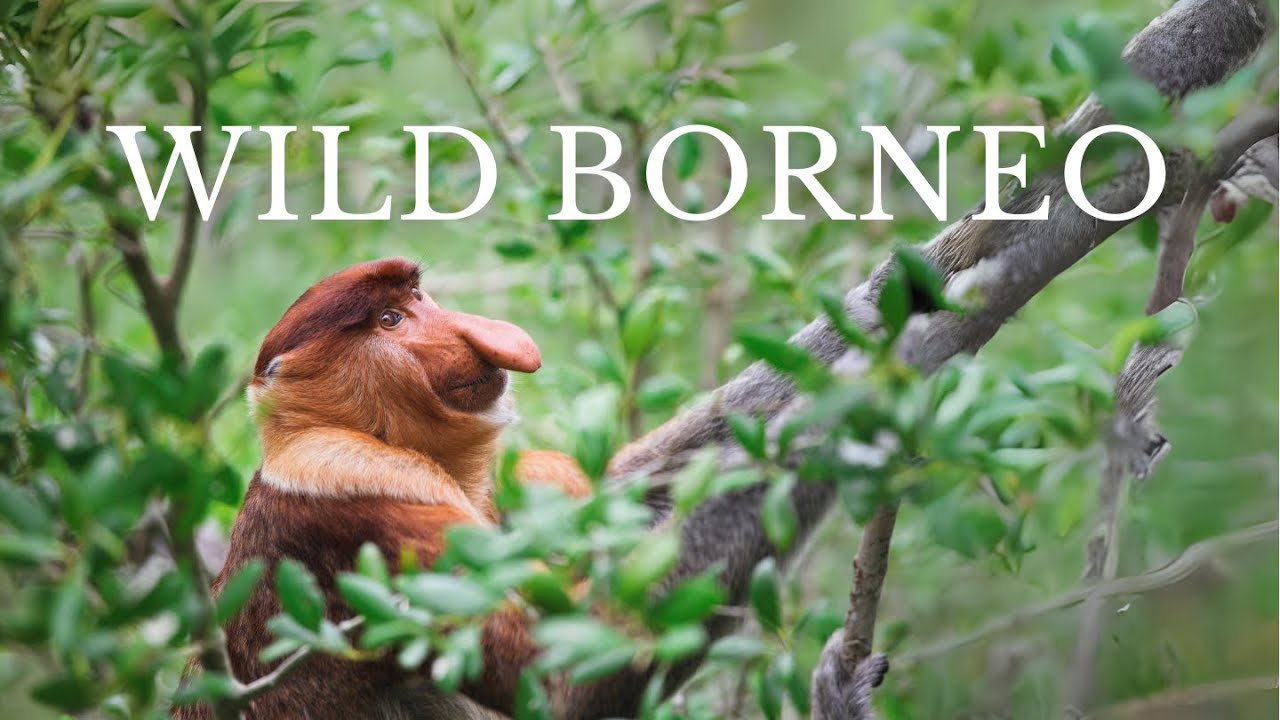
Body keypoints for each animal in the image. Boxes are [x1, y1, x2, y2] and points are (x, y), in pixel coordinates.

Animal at [173, 257, 884, 720]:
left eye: (418, 299)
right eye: (390, 319)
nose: (476, 332)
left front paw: (885, 304)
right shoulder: (360, 499)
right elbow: (565, 680)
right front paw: (882, 370)